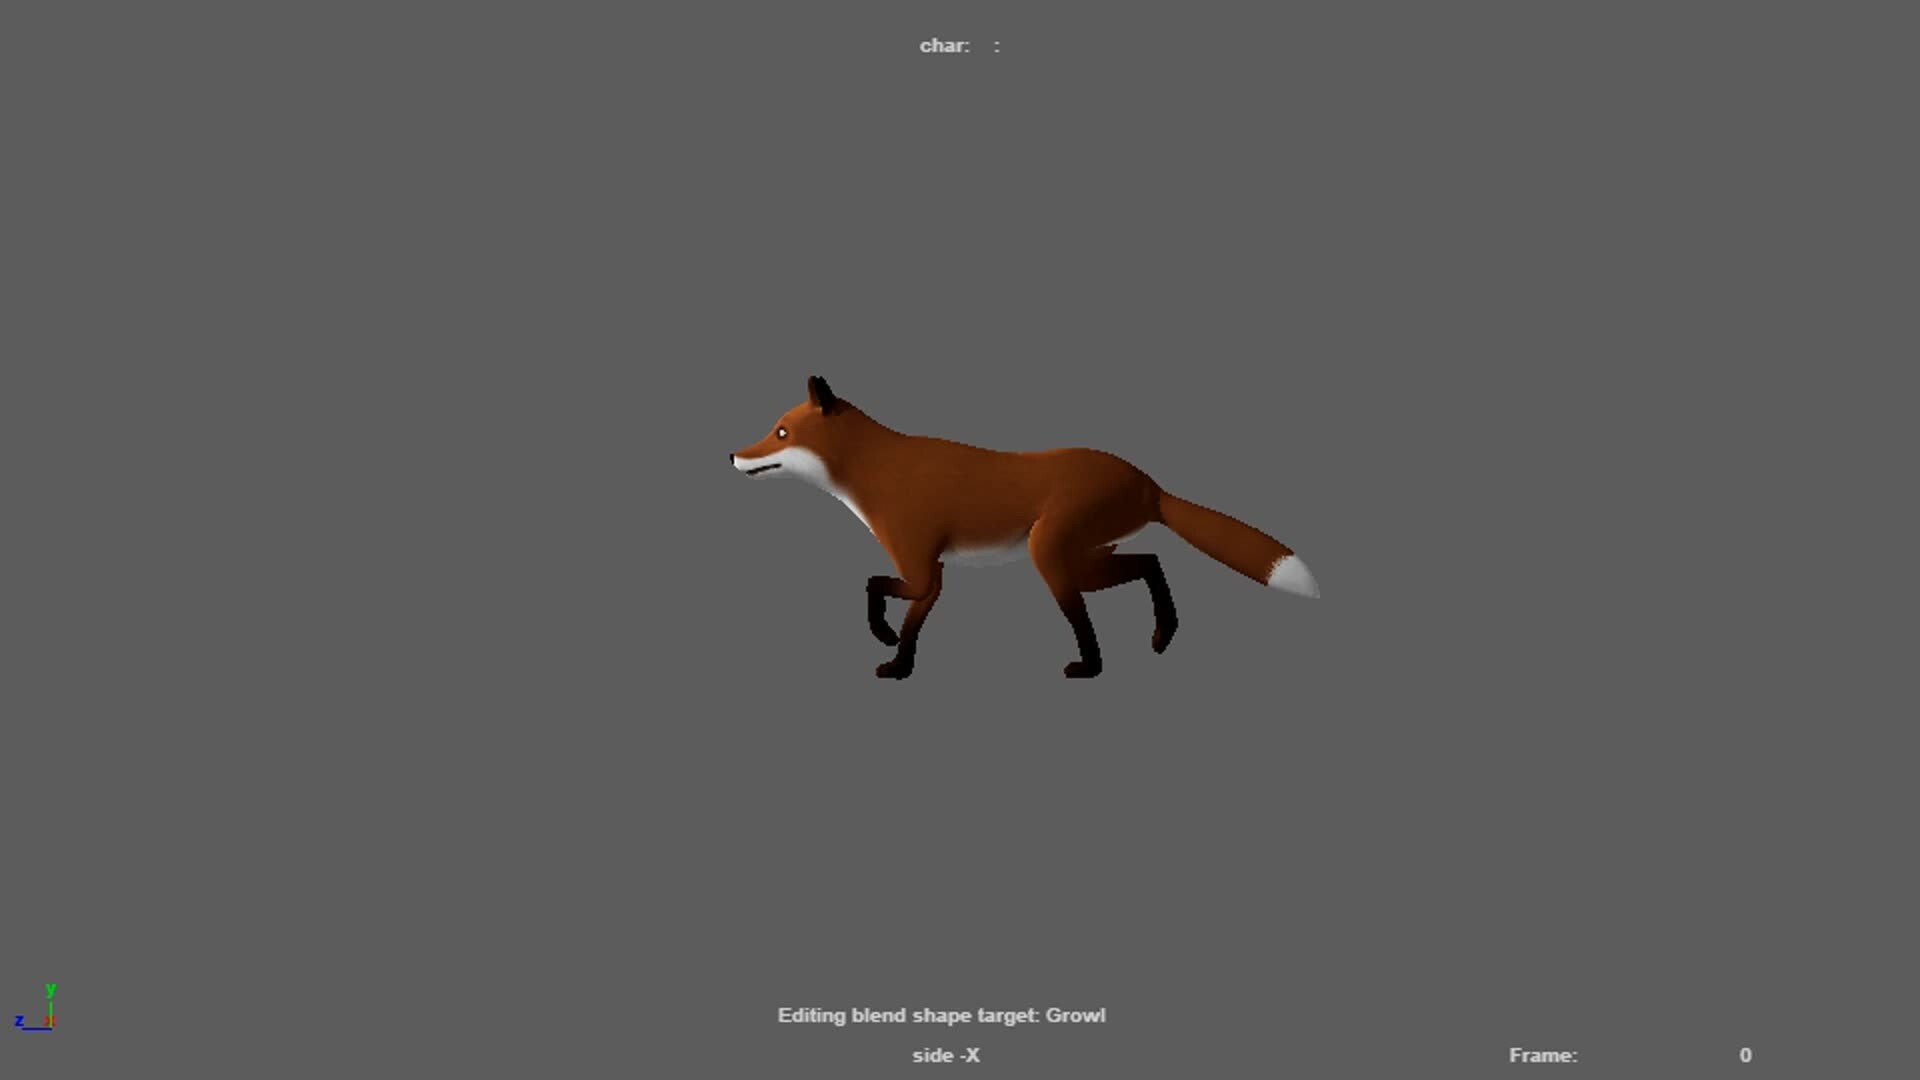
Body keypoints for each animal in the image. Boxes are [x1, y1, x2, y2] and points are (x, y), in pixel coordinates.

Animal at [730, 377, 1320, 679]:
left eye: (780, 432)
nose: (732, 455)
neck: (878, 471)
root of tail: (1149, 483)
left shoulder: (921, 568)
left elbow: (876, 590)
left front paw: (888, 645)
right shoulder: (932, 576)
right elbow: (900, 613)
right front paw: (896, 654)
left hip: (1050, 554)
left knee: (1093, 612)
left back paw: (1090, 665)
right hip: (1087, 554)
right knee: (1152, 563)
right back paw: (1163, 635)